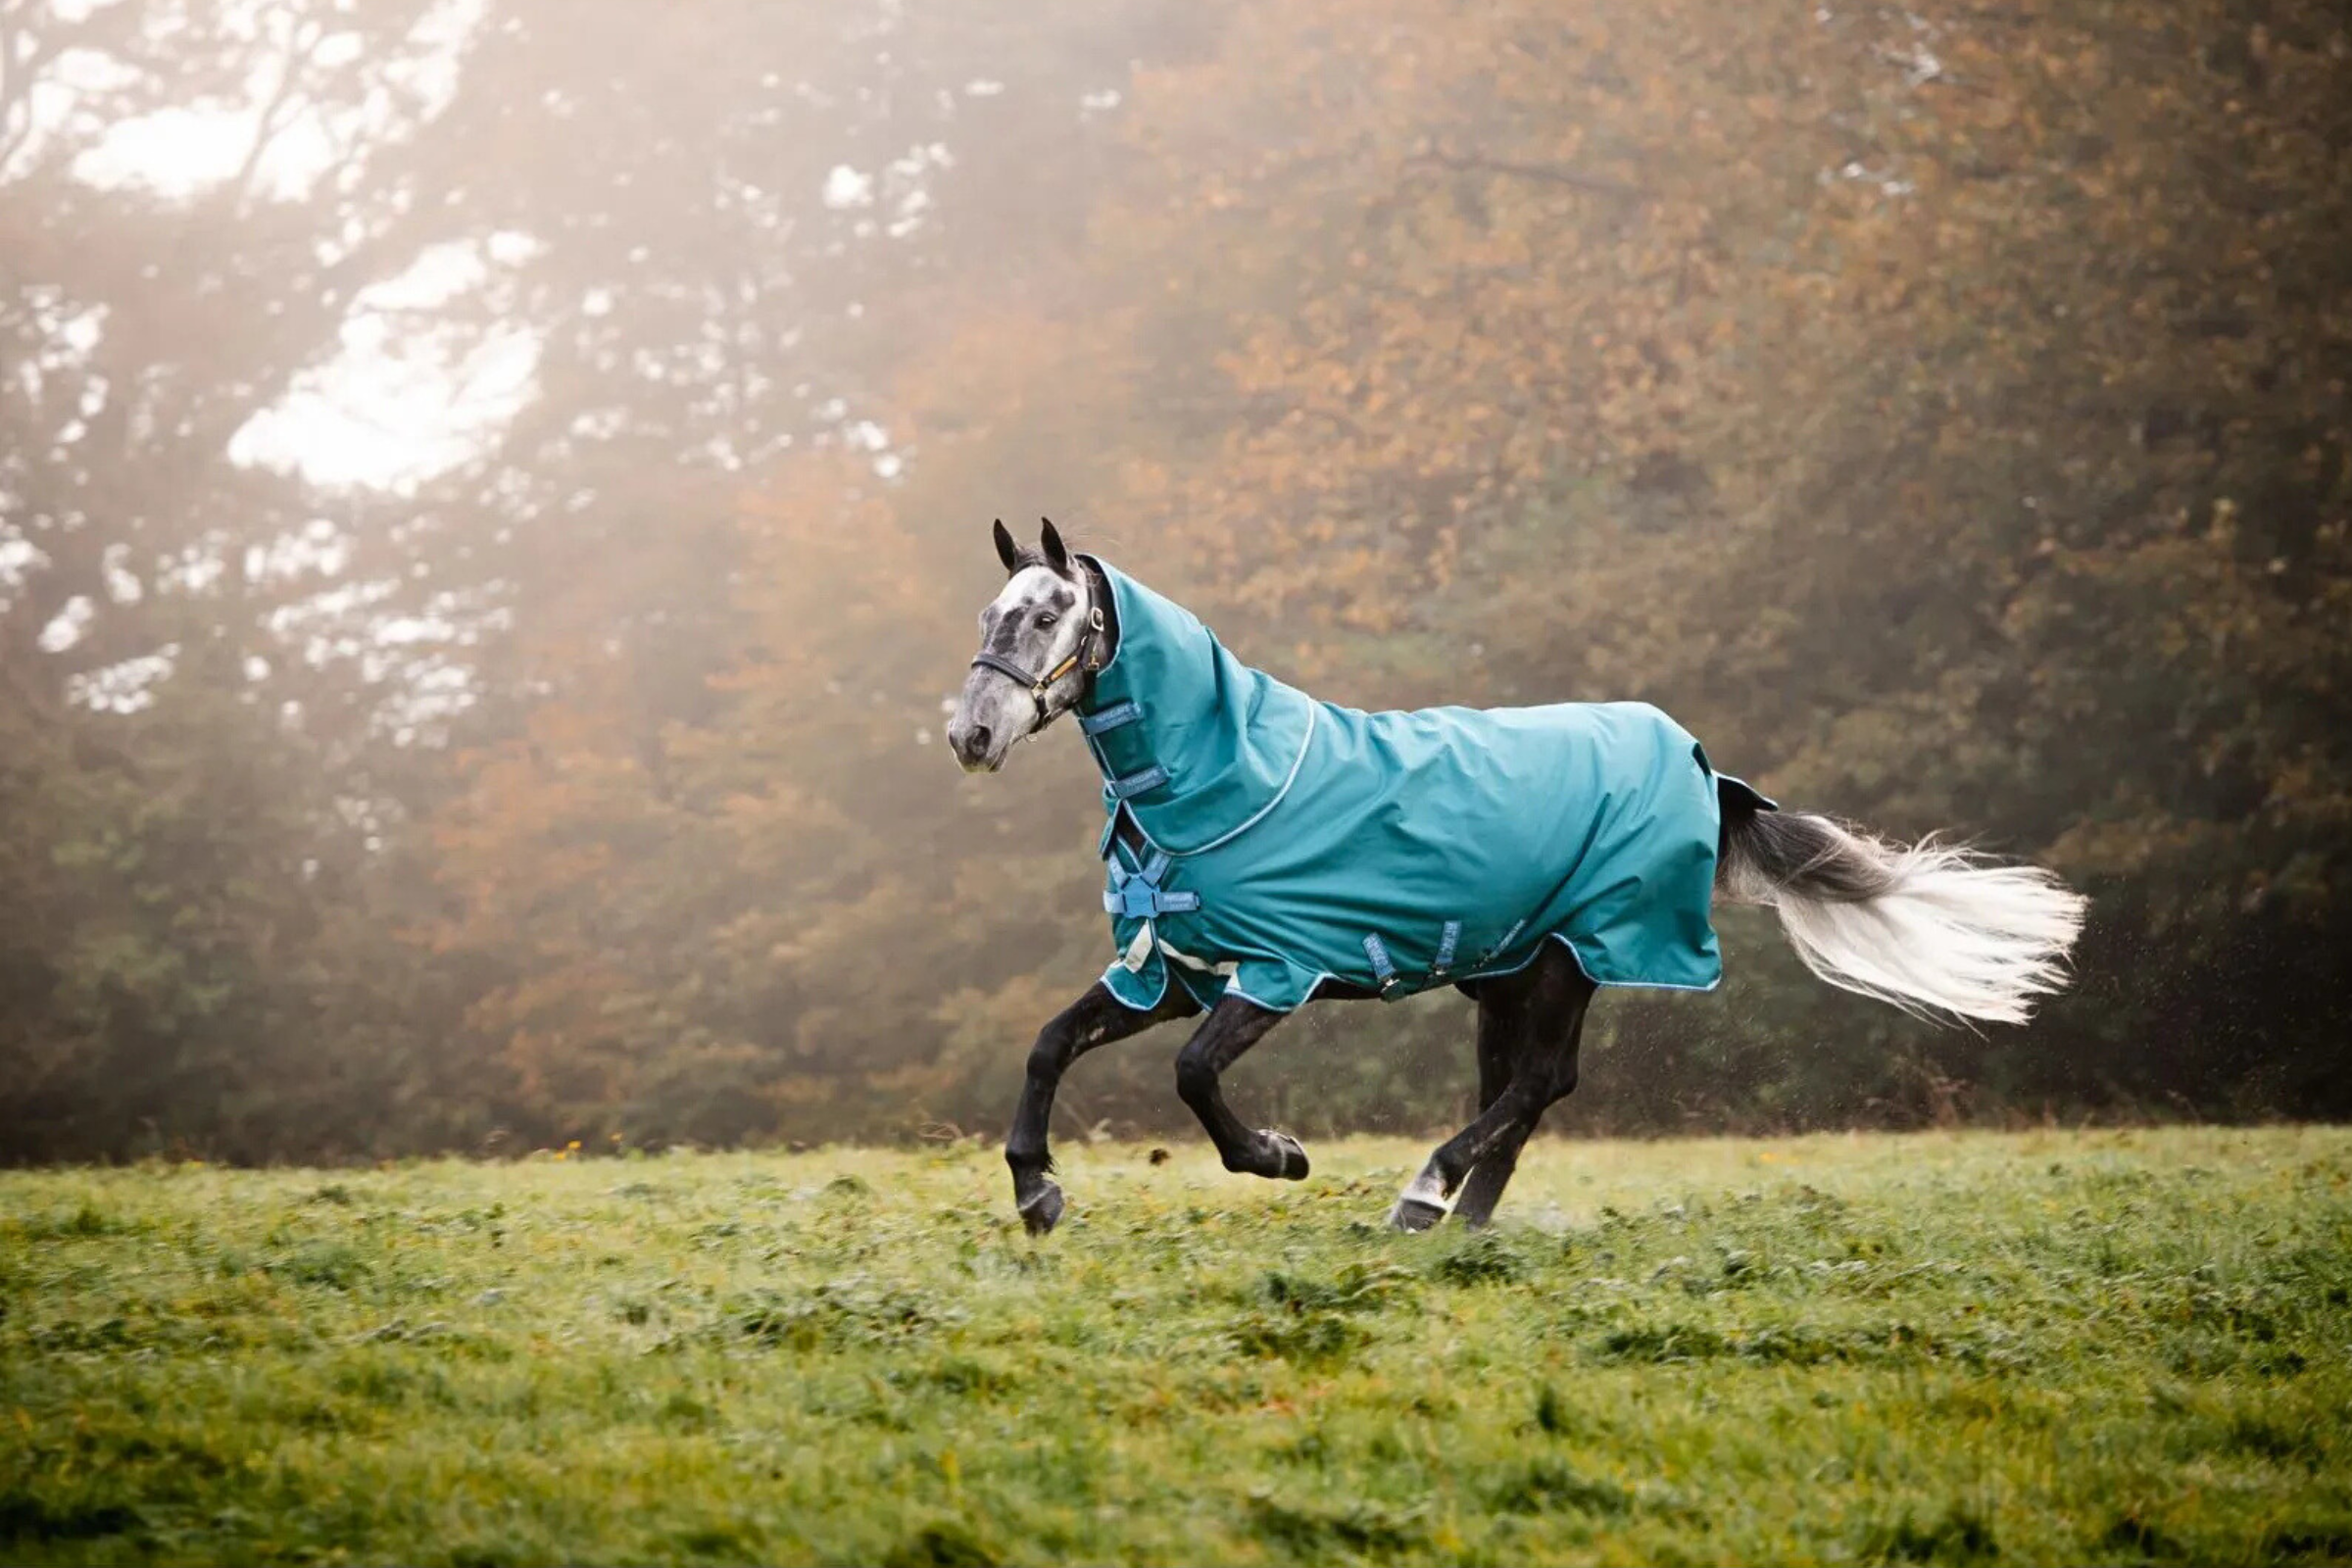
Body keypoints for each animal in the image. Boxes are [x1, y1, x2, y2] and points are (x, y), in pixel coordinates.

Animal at [947, 518, 2087, 1234]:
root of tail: (1704, 766)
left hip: (1577, 956)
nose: (971, 733)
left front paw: (1281, 1155)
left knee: (1539, 1084)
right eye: (986, 616)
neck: (1227, 773)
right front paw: (1037, 1194)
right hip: (1515, 972)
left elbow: (1192, 1077)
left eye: (1047, 615)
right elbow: (1051, 1044)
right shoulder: (1170, 970)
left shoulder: (1278, 970)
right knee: (1525, 1092)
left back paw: (1423, 1194)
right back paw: (1464, 1223)